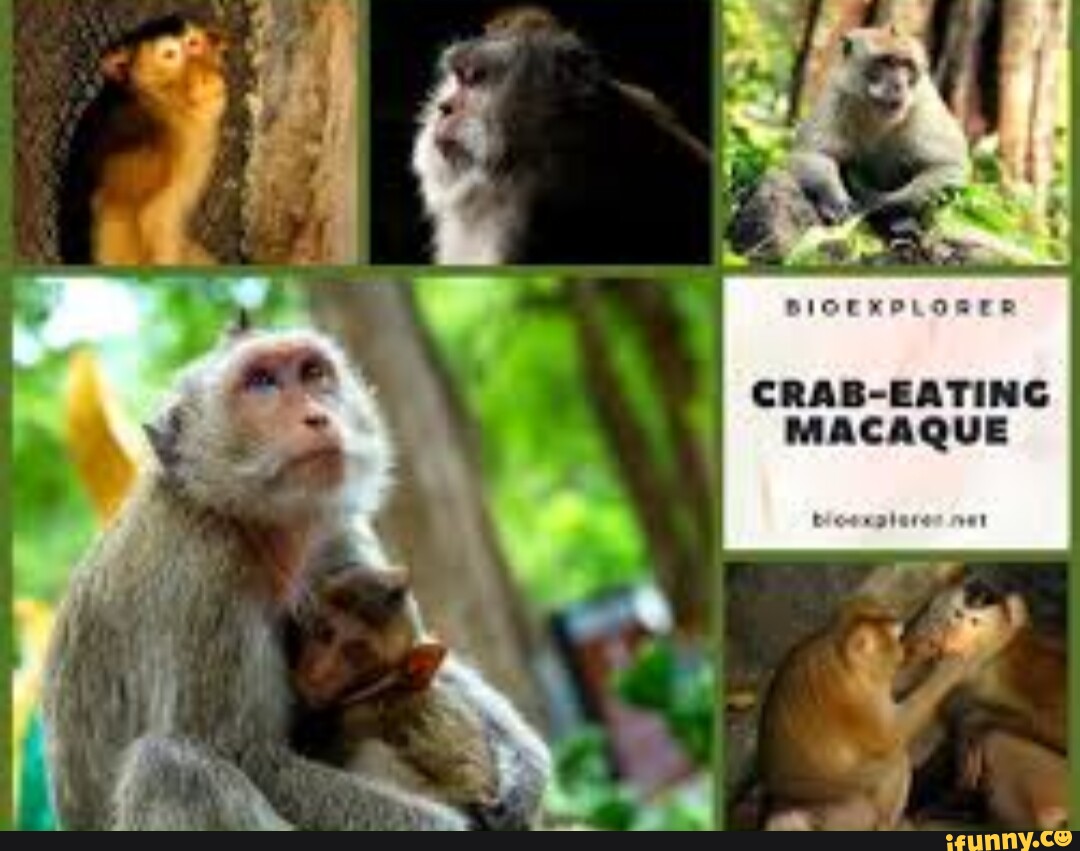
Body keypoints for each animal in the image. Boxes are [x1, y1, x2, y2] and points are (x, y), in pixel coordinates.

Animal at [42, 316, 474, 830]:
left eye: (313, 373)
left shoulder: (337, 535)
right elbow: (248, 757)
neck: (253, 526)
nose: (317, 417)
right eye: (261, 382)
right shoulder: (203, 572)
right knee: (169, 769)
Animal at [58, 15, 228, 266]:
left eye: (193, 43)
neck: (162, 105)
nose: (205, 75)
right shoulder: (142, 148)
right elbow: (112, 220)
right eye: (170, 55)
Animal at [758, 595, 1022, 830]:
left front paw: (930, 648)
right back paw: (890, 824)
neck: (842, 660)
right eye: (898, 638)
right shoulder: (858, 703)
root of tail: (792, 809)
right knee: (894, 761)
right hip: (851, 815)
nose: (906, 648)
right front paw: (957, 664)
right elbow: (893, 735)